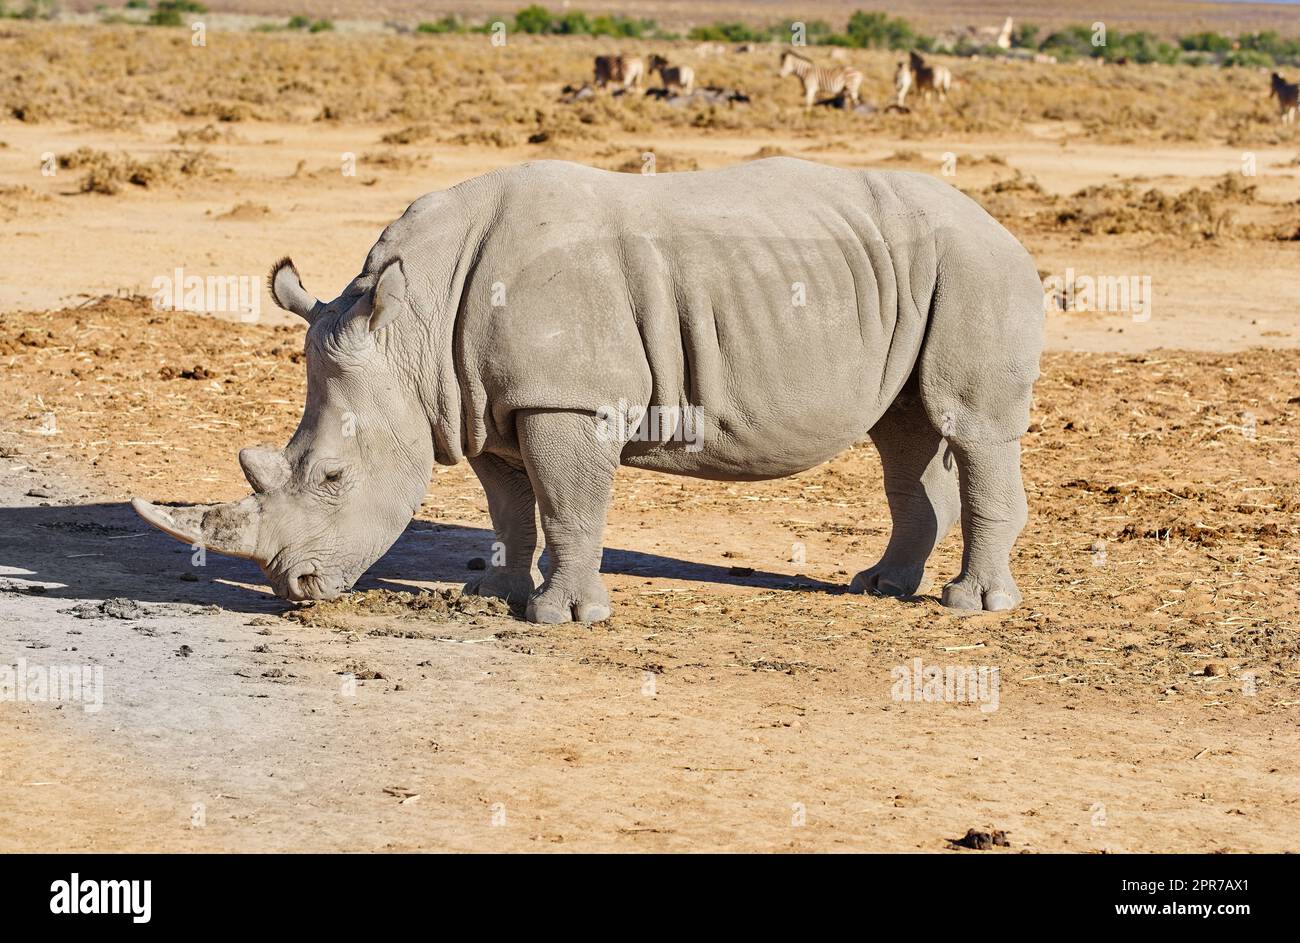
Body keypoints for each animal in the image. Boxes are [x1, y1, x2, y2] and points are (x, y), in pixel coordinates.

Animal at [133, 158, 1044, 623]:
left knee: (973, 425)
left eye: (332, 477)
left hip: (977, 267)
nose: (293, 590)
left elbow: (570, 502)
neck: (410, 326)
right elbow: (510, 504)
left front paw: (561, 617)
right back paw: (880, 586)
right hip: (913, 276)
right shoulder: (482, 399)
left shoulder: (563, 396)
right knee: (903, 429)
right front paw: (491, 591)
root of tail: (1006, 228)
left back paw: (972, 607)